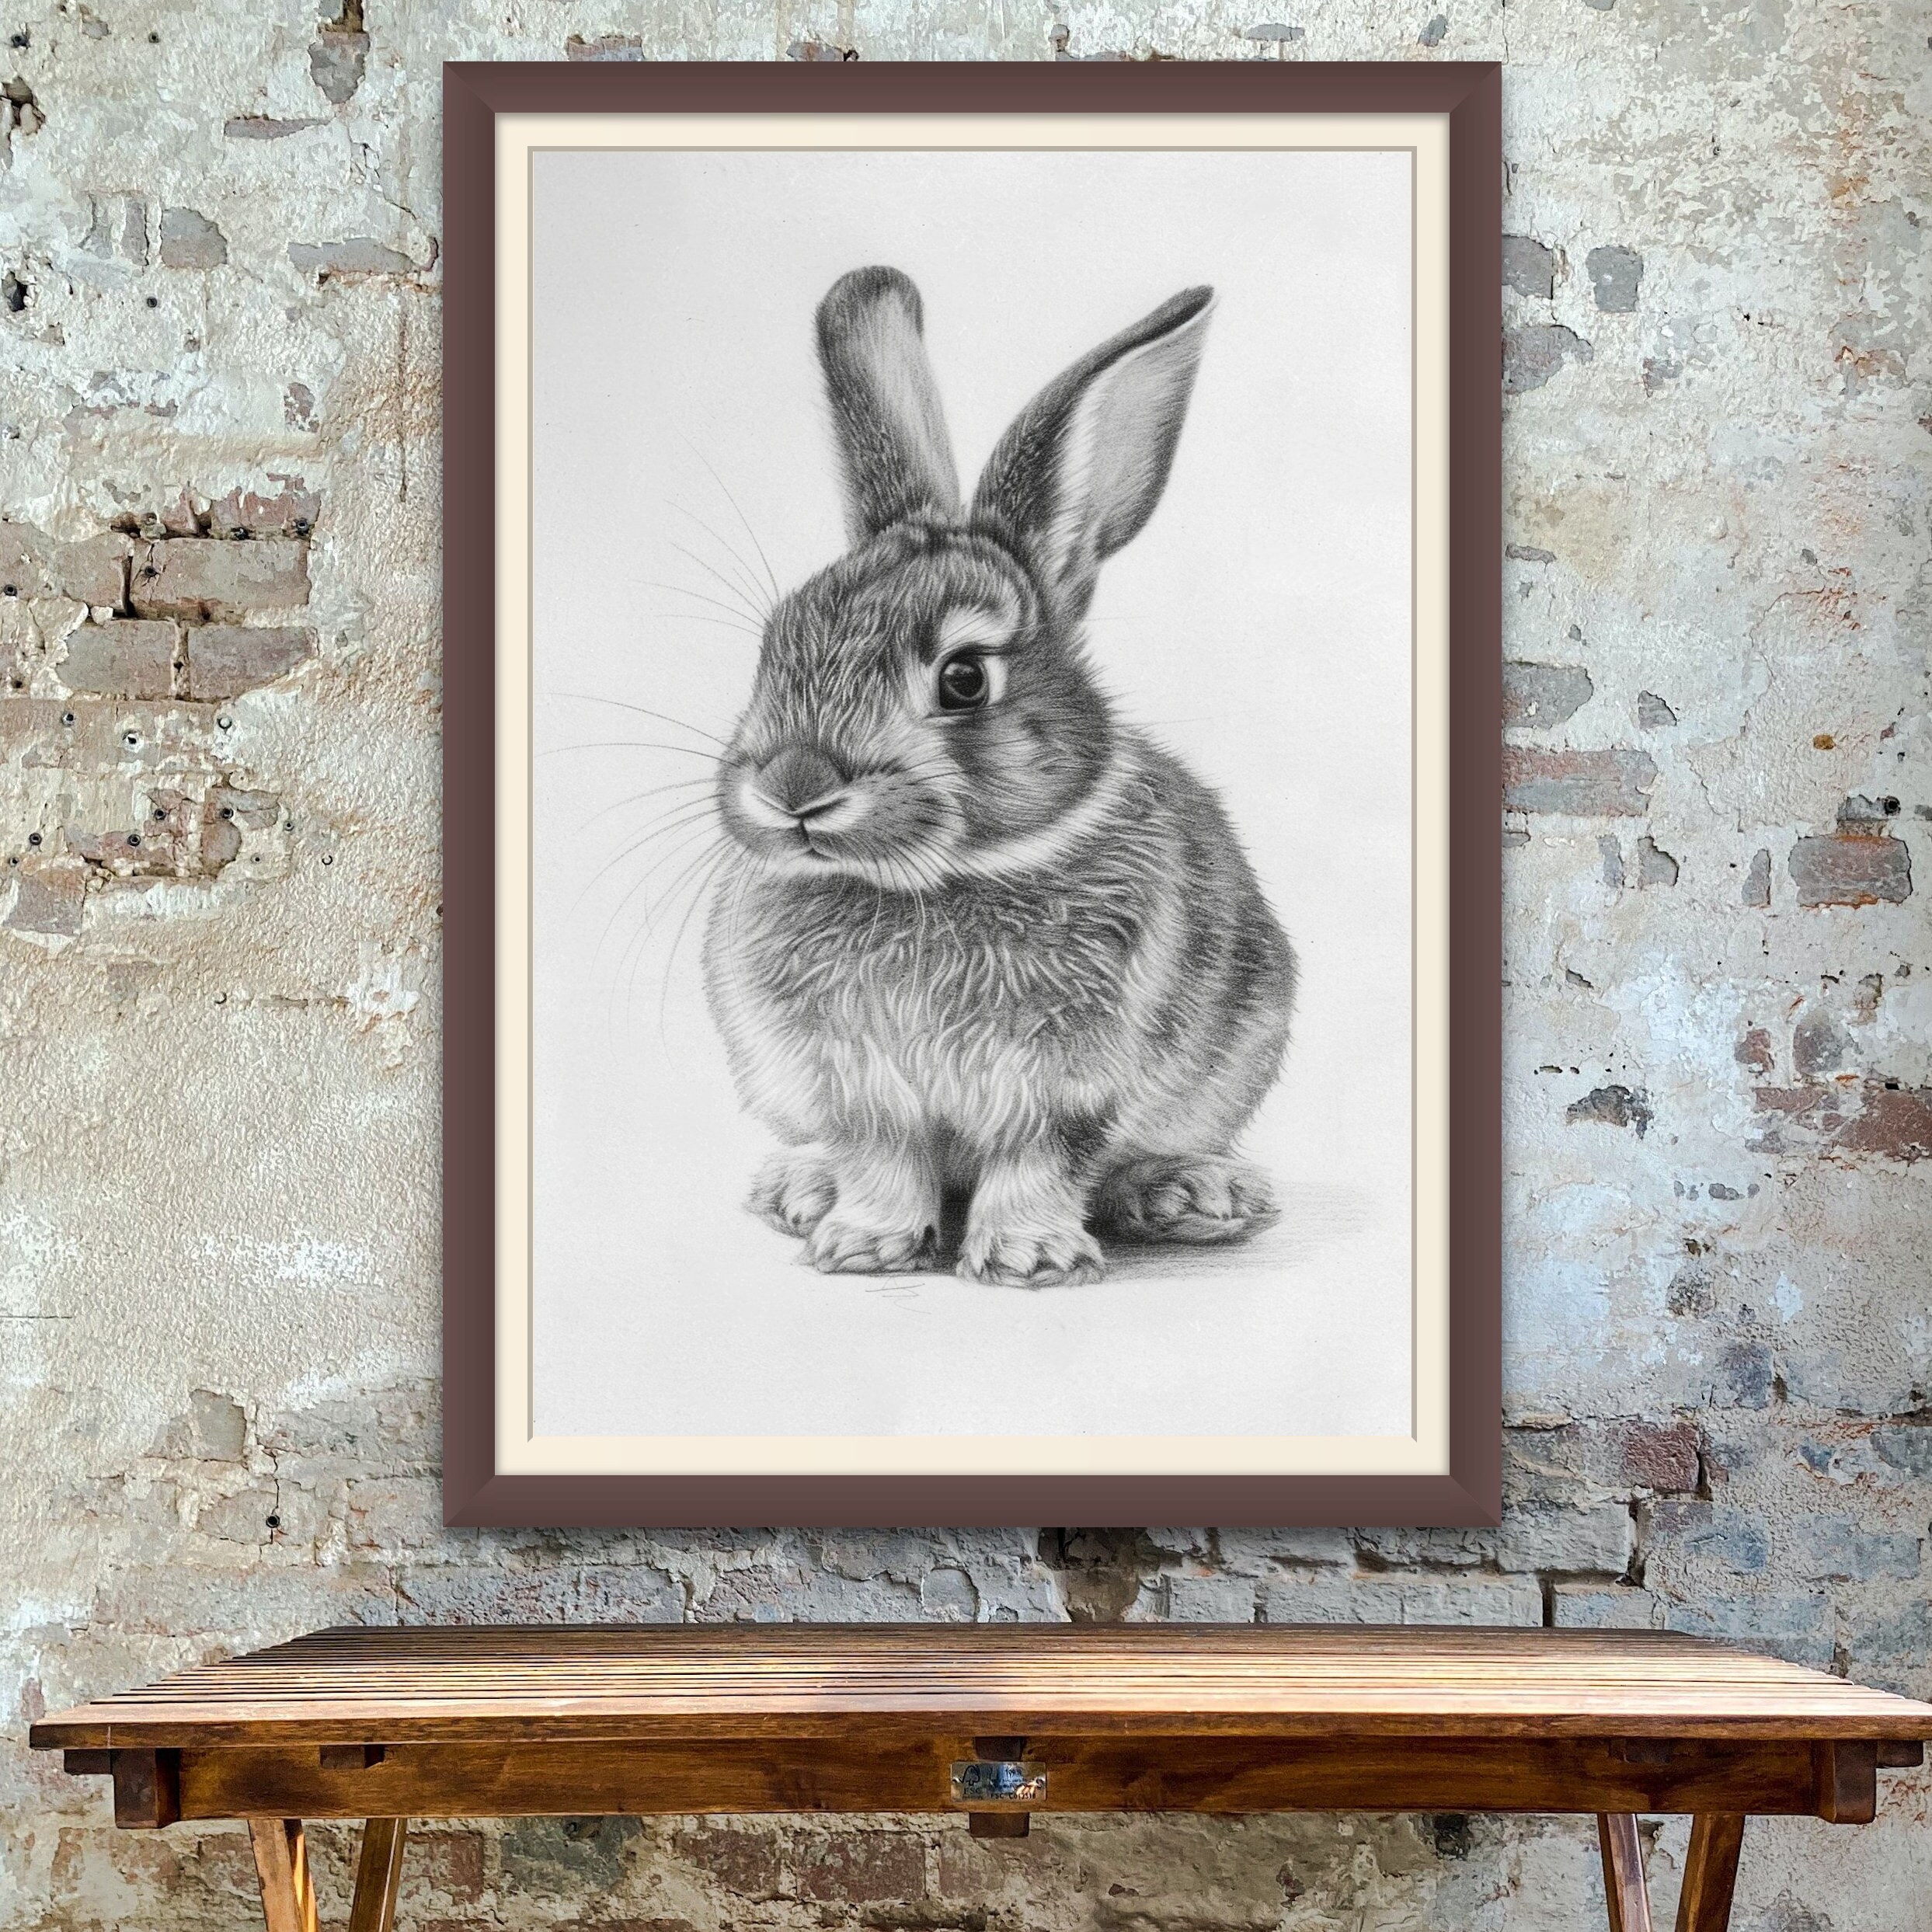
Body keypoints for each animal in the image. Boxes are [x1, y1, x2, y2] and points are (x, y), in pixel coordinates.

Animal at [702, 266, 1296, 1287]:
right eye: (777, 643)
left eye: (964, 679)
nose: (792, 787)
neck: (930, 885)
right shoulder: (850, 1080)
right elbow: (880, 1156)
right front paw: (863, 1242)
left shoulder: (1071, 1075)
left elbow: (1043, 1158)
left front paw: (1029, 1258)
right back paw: (800, 1188)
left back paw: (1189, 1195)